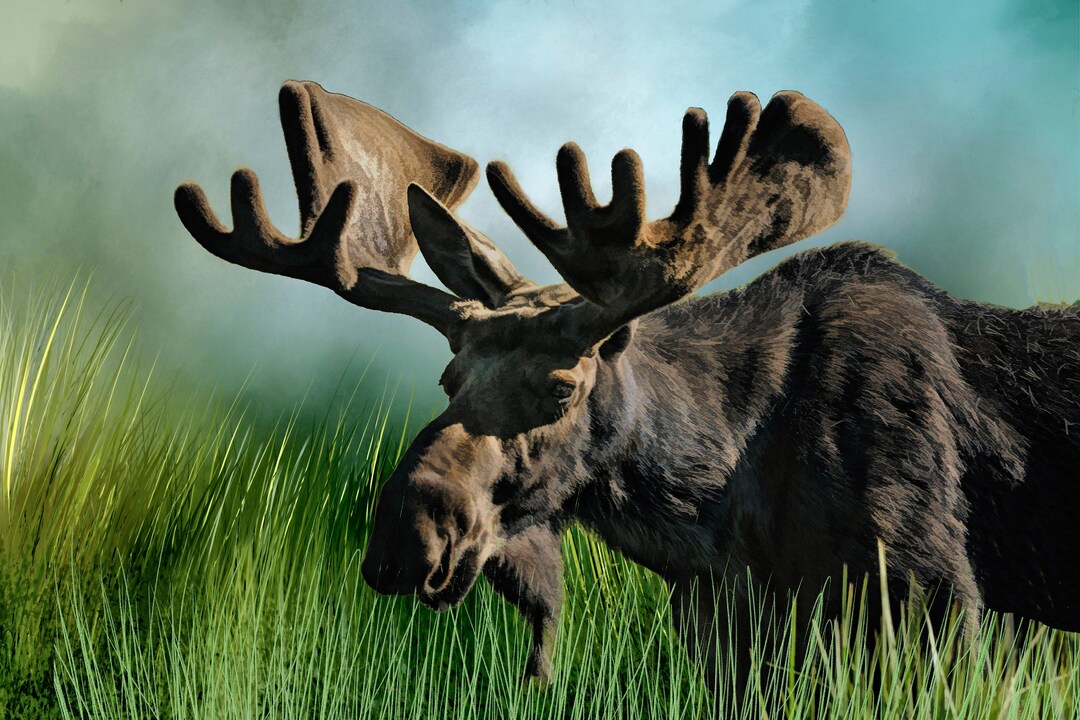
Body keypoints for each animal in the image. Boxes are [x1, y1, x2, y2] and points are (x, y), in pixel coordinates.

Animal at [174, 80, 1080, 693]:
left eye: (562, 387)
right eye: (448, 375)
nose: (408, 534)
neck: (713, 512)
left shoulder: (931, 596)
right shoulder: (725, 628)